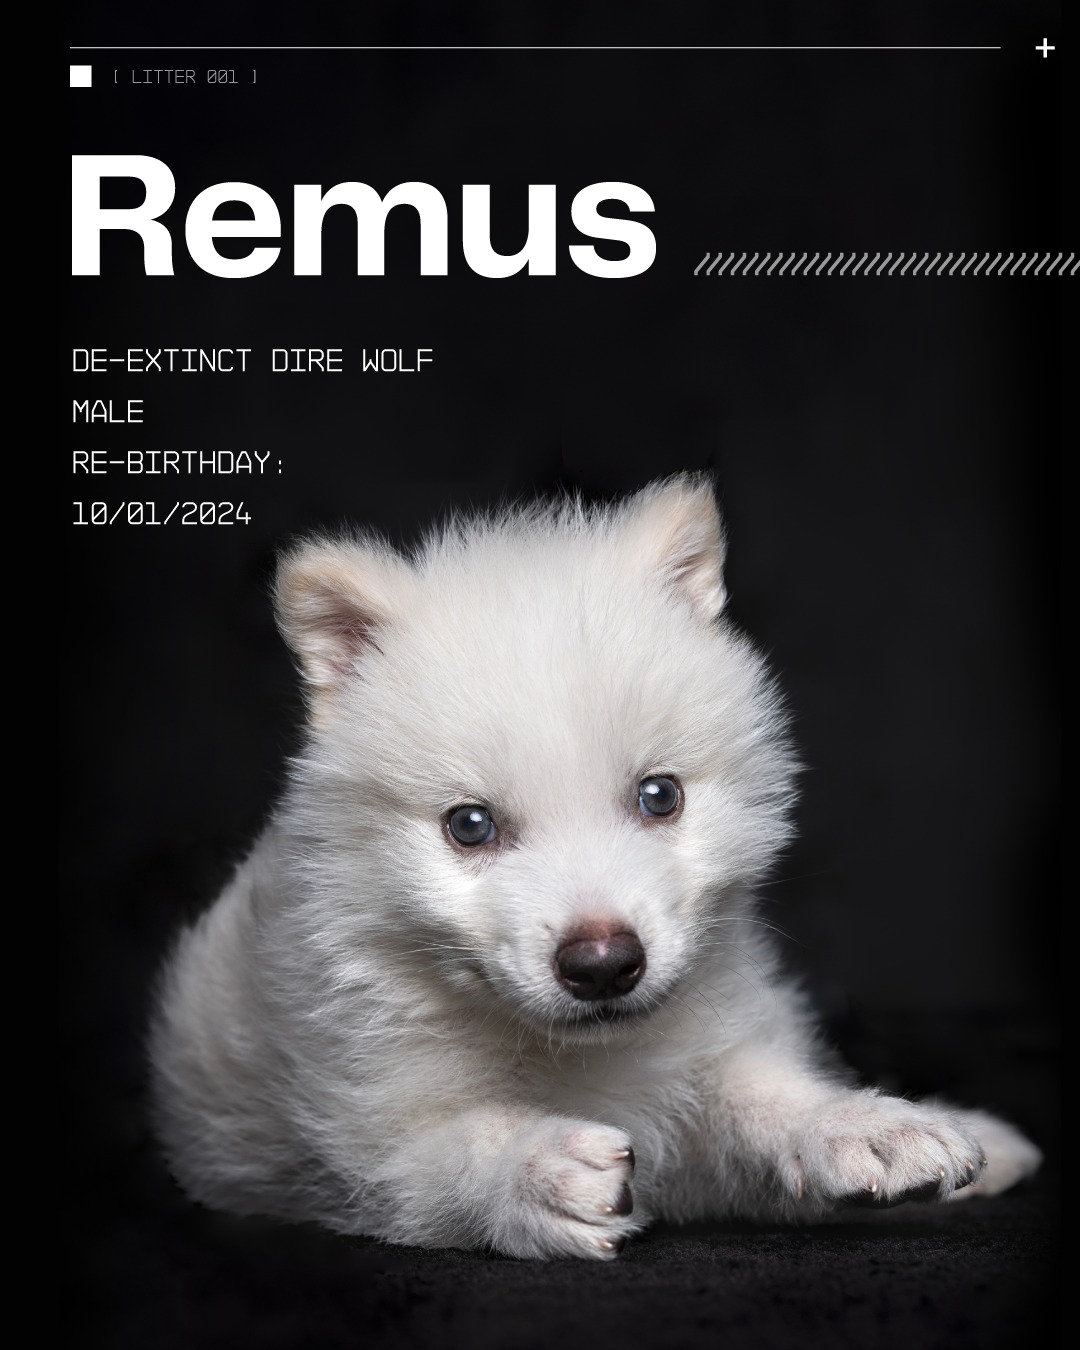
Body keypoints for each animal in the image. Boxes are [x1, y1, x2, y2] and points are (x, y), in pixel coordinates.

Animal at [150, 475, 1041, 1258]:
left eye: (659, 796)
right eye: (470, 826)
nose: (604, 963)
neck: (575, 1058)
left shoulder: (706, 1059)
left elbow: (758, 1089)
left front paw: (858, 1124)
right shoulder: (359, 1130)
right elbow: (451, 1146)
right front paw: (535, 1169)